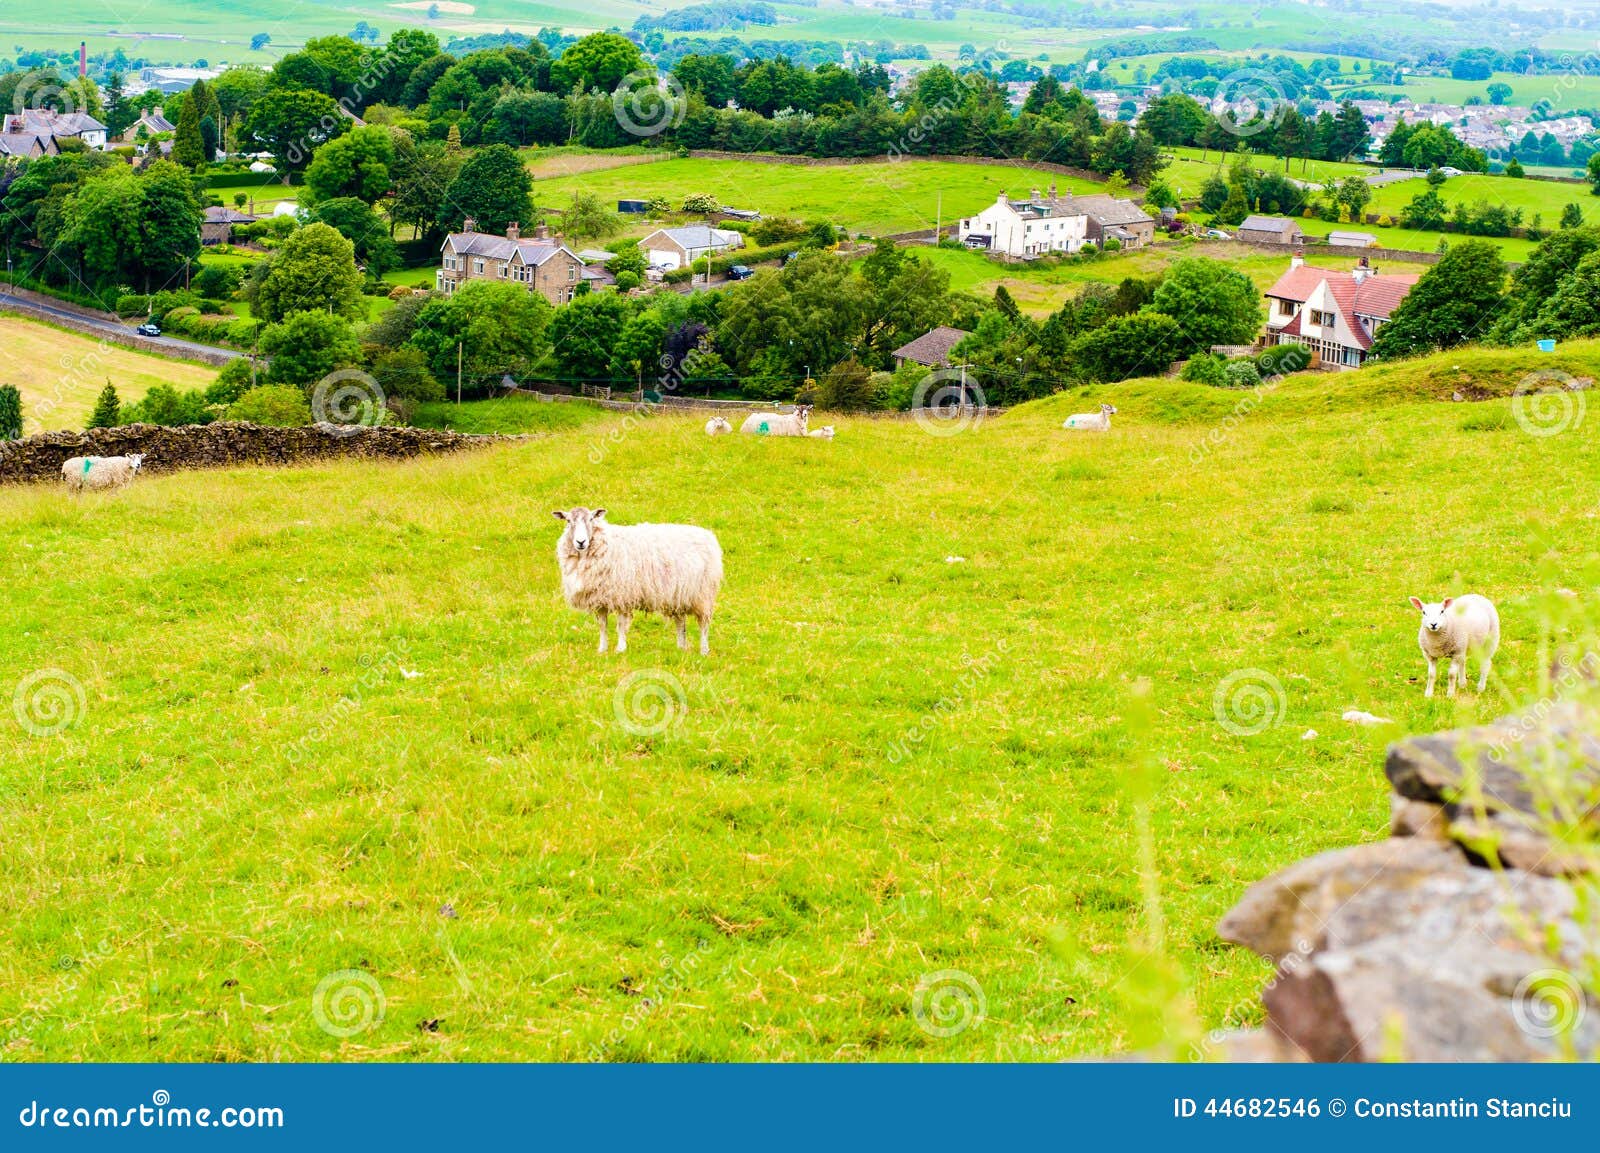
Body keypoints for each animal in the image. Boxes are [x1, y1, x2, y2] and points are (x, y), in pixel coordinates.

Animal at [554, 506, 723, 655]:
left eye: (591, 519)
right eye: (568, 520)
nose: (580, 542)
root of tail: (708, 535)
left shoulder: (623, 595)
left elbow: (621, 625)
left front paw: (620, 649)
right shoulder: (600, 598)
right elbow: (602, 625)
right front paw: (602, 649)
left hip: (703, 594)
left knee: (704, 624)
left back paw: (704, 650)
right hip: (679, 596)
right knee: (681, 622)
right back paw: (681, 648)